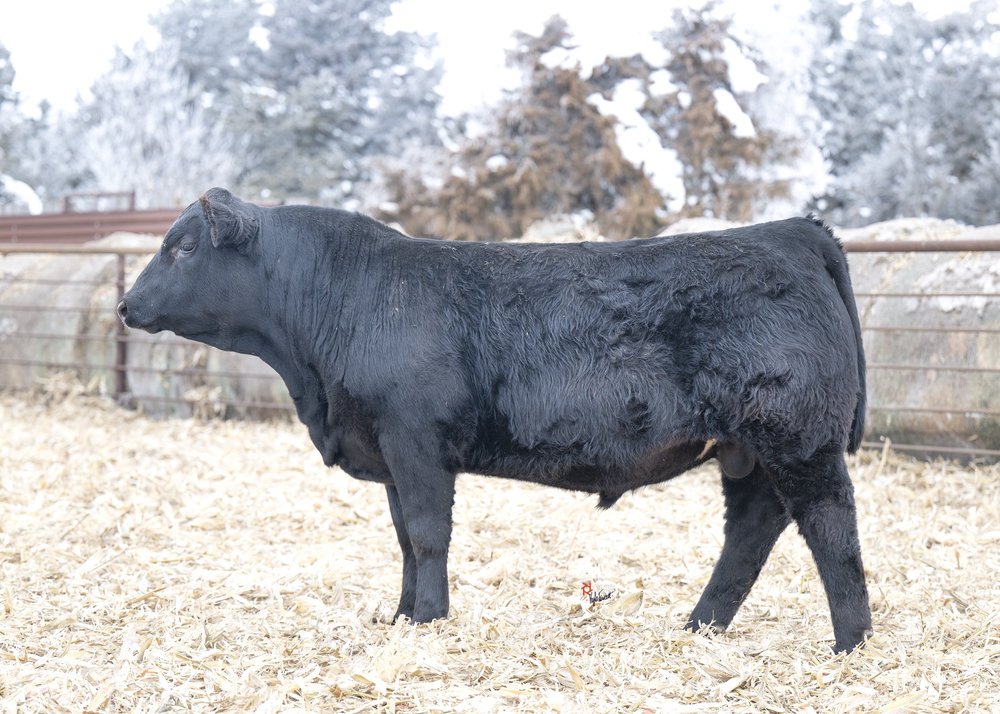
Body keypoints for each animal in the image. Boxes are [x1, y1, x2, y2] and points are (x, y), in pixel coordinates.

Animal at [118, 188, 872, 652]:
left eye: (184, 247)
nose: (125, 304)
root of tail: (789, 231)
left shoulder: (414, 442)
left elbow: (428, 536)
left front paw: (428, 618)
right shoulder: (389, 455)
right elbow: (403, 539)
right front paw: (402, 615)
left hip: (799, 438)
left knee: (831, 527)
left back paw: (851, 642)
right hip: (749, 448)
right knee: (752, 530)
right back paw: (700, 627)